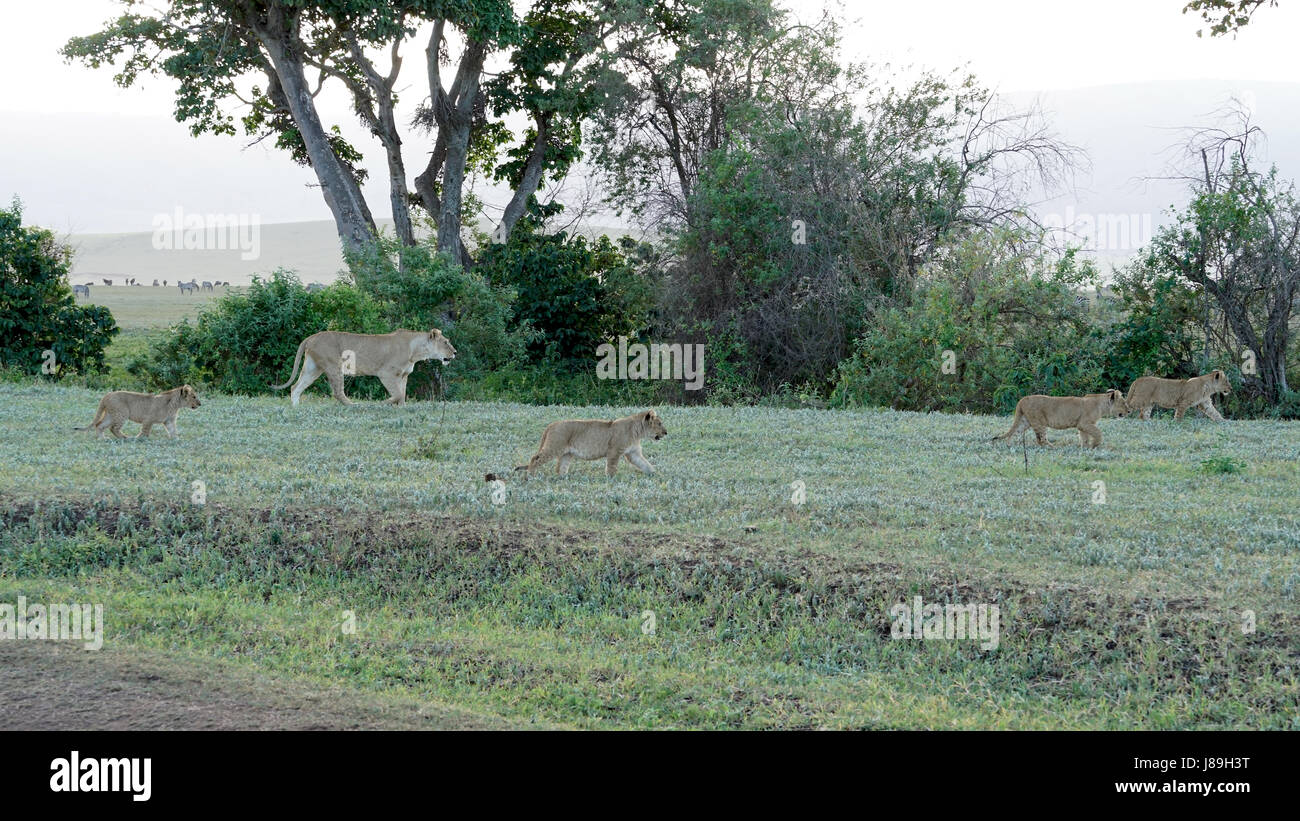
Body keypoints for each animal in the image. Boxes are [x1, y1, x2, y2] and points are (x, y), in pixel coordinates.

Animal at [271, 329, 456, 406]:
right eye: (446, 342)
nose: (455, 352)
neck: (416, 351)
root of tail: (311, 337)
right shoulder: (387, 374)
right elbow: (397, 394)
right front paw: (383, 403)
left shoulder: (404, 375)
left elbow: (402, 395)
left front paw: (402, 409)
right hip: (334, 366)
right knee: (338, 393)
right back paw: (355, 405)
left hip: (313, 368)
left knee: (295, 387)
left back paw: (296, 408)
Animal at [486, 410, 668, 480]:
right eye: (659, 423)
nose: (666, 432)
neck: (637, 432)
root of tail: (551, 424)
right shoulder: (614, 451)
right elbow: (611, 467)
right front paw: (611, 480)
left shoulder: (633, 453)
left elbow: (645, 464)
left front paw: (656, 475)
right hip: (553, 447)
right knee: (534, 458)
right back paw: (530, 476)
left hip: (566, 454)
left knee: (560, 468)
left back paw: (563, 479)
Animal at [991, 389, 1129, 449]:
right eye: (1123, 402)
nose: (1129, 411)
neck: (1101, 404)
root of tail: (1022, 400)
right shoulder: (1085, 423)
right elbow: (1098, 433)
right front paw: (1095, 445)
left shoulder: (1082, 426)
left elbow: (1084, 437)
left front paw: (1085, 447)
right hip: (1039, 422)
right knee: (1041, 439)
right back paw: (1054, 447)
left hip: (1025, 421)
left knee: (1014, 433)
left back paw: (1008, 445)